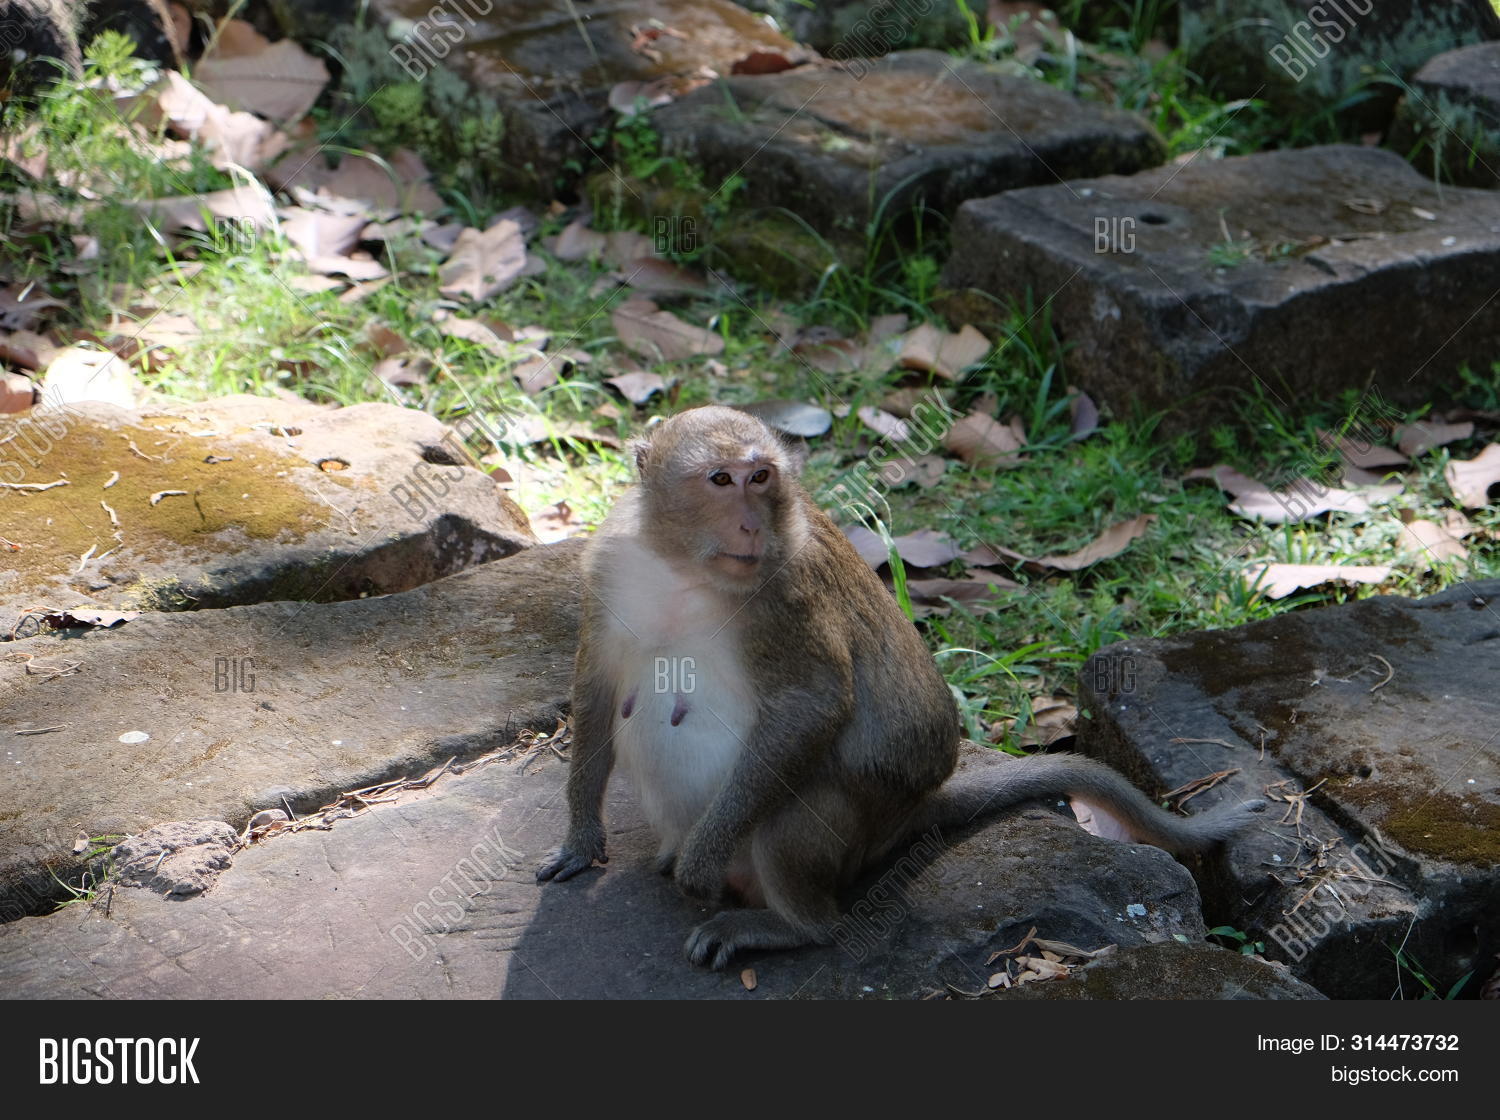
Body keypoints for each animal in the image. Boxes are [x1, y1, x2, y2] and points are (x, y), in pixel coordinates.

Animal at [537, 405, 1265, 969]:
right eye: (721, 480)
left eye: (760, 477)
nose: (751, 523)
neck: (683, 564)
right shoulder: (610, 564)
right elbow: (596, 684)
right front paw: (581, 836)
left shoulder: (784, 591)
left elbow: (812, 705)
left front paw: (701, 863)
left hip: (845, 832)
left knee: (795, 813)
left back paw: (786, 923)